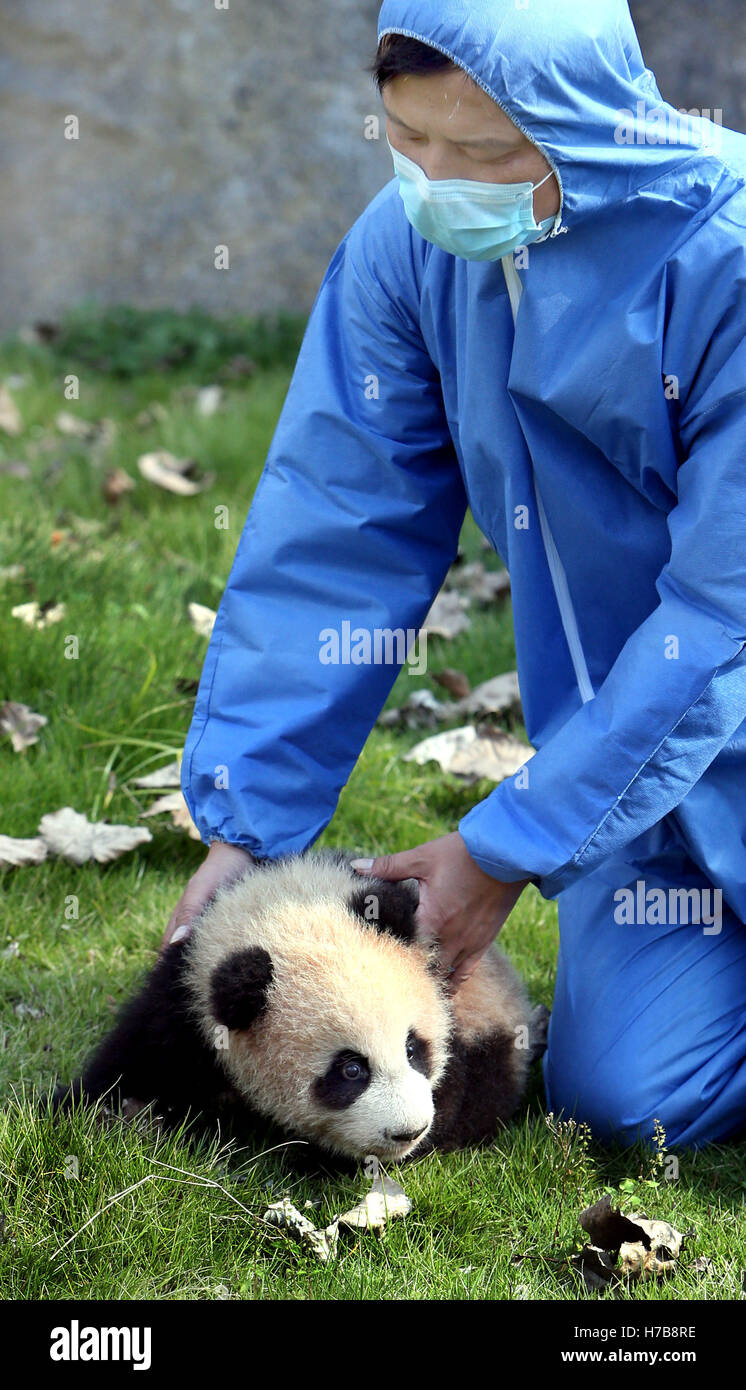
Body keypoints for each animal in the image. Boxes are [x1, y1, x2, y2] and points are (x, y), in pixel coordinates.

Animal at [53, 851, 548, 1164]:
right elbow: (133, 1062)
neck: (283, 906)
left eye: (413, 1049)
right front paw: (100, 1113)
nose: (408, 1131)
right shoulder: (184, 997)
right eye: (350, 1069)